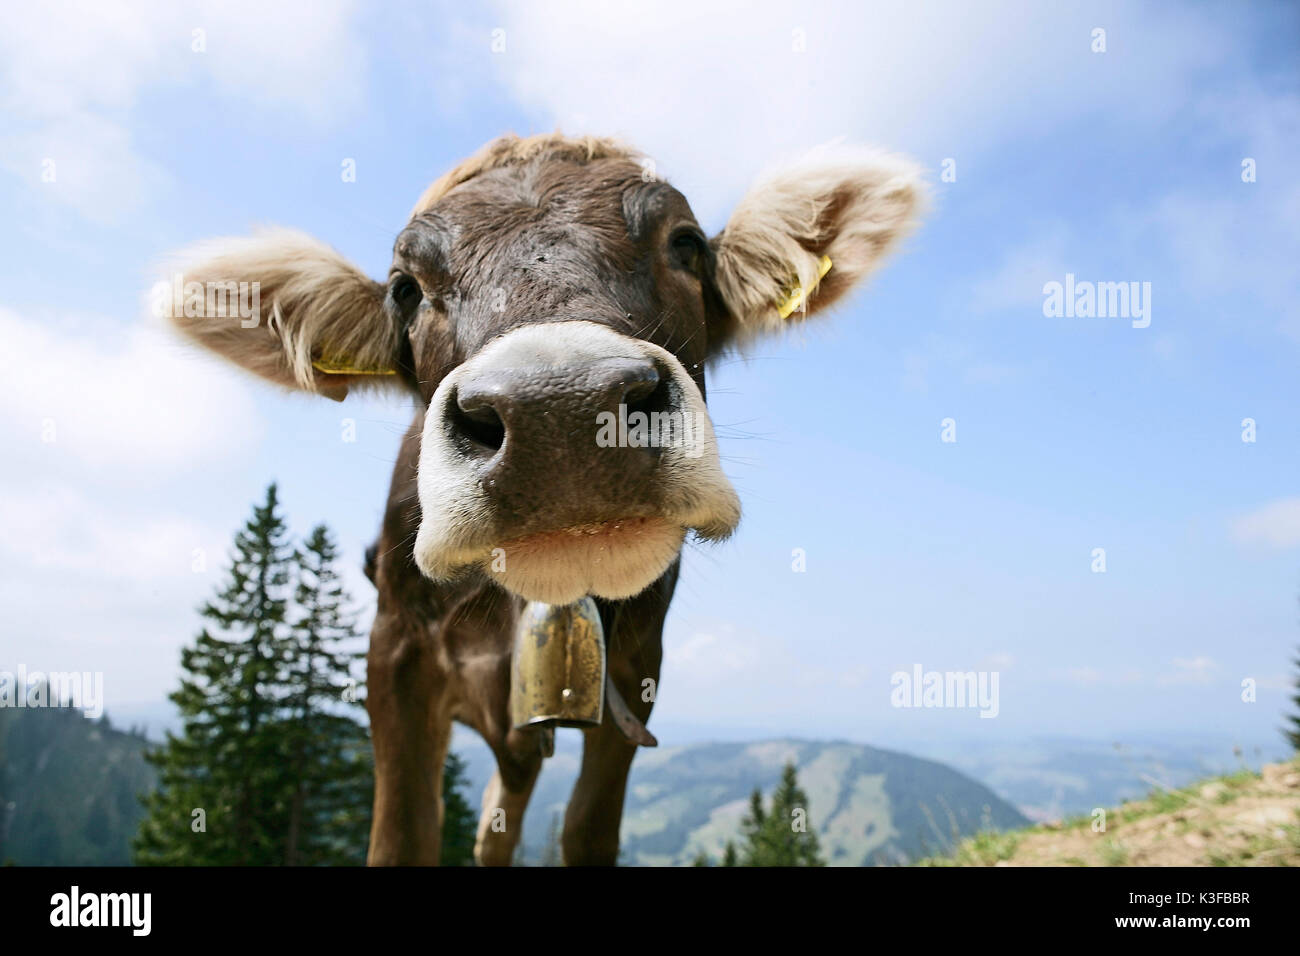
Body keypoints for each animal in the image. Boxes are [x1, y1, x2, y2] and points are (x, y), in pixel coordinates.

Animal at [165, 133, 922, 865]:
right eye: (405, 289)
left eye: (684, 243)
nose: (560, 413)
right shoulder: (396, 651)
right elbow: (402, 836)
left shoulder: (636, 670)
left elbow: (586, 830)